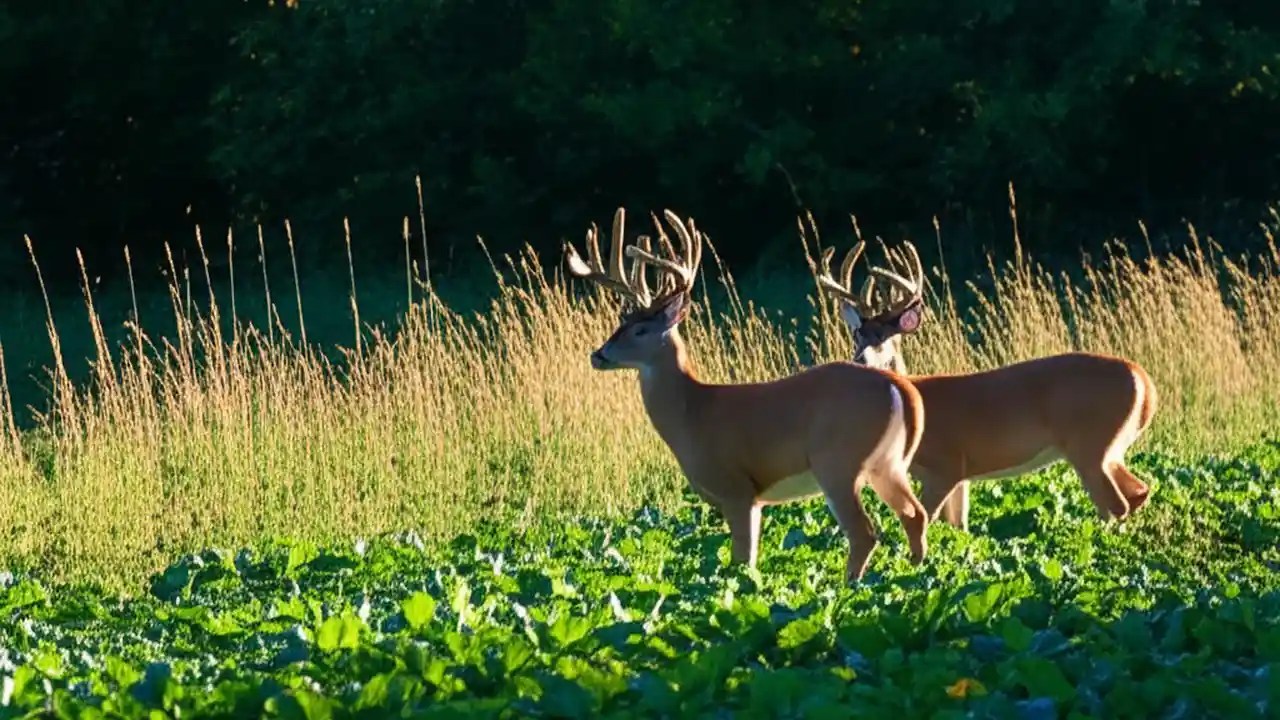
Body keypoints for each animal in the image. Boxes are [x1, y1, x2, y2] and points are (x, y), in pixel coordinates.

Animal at [564, 208, 931, 582]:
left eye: (639, 330)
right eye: (621, 322)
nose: (598, 355)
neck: (691, 413)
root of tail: (900, 387)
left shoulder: (736, 489)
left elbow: (741, 561)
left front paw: (740, 588)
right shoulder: (754, 499)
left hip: (839, 462)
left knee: (865, 532)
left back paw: (853, 586)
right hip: (888, 464)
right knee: (915, 515)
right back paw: (916, 574)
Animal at [808, 235, 1157, 533]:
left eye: (886, 338)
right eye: (858, 333)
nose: (860, 358)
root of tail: (1144, 380)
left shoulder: (946, 465)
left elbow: (929, 520)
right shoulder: (961, 476)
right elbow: (958, 527)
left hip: (1091, 445)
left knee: (1117, 504)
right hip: (1110, 449)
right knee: (1140, 490)